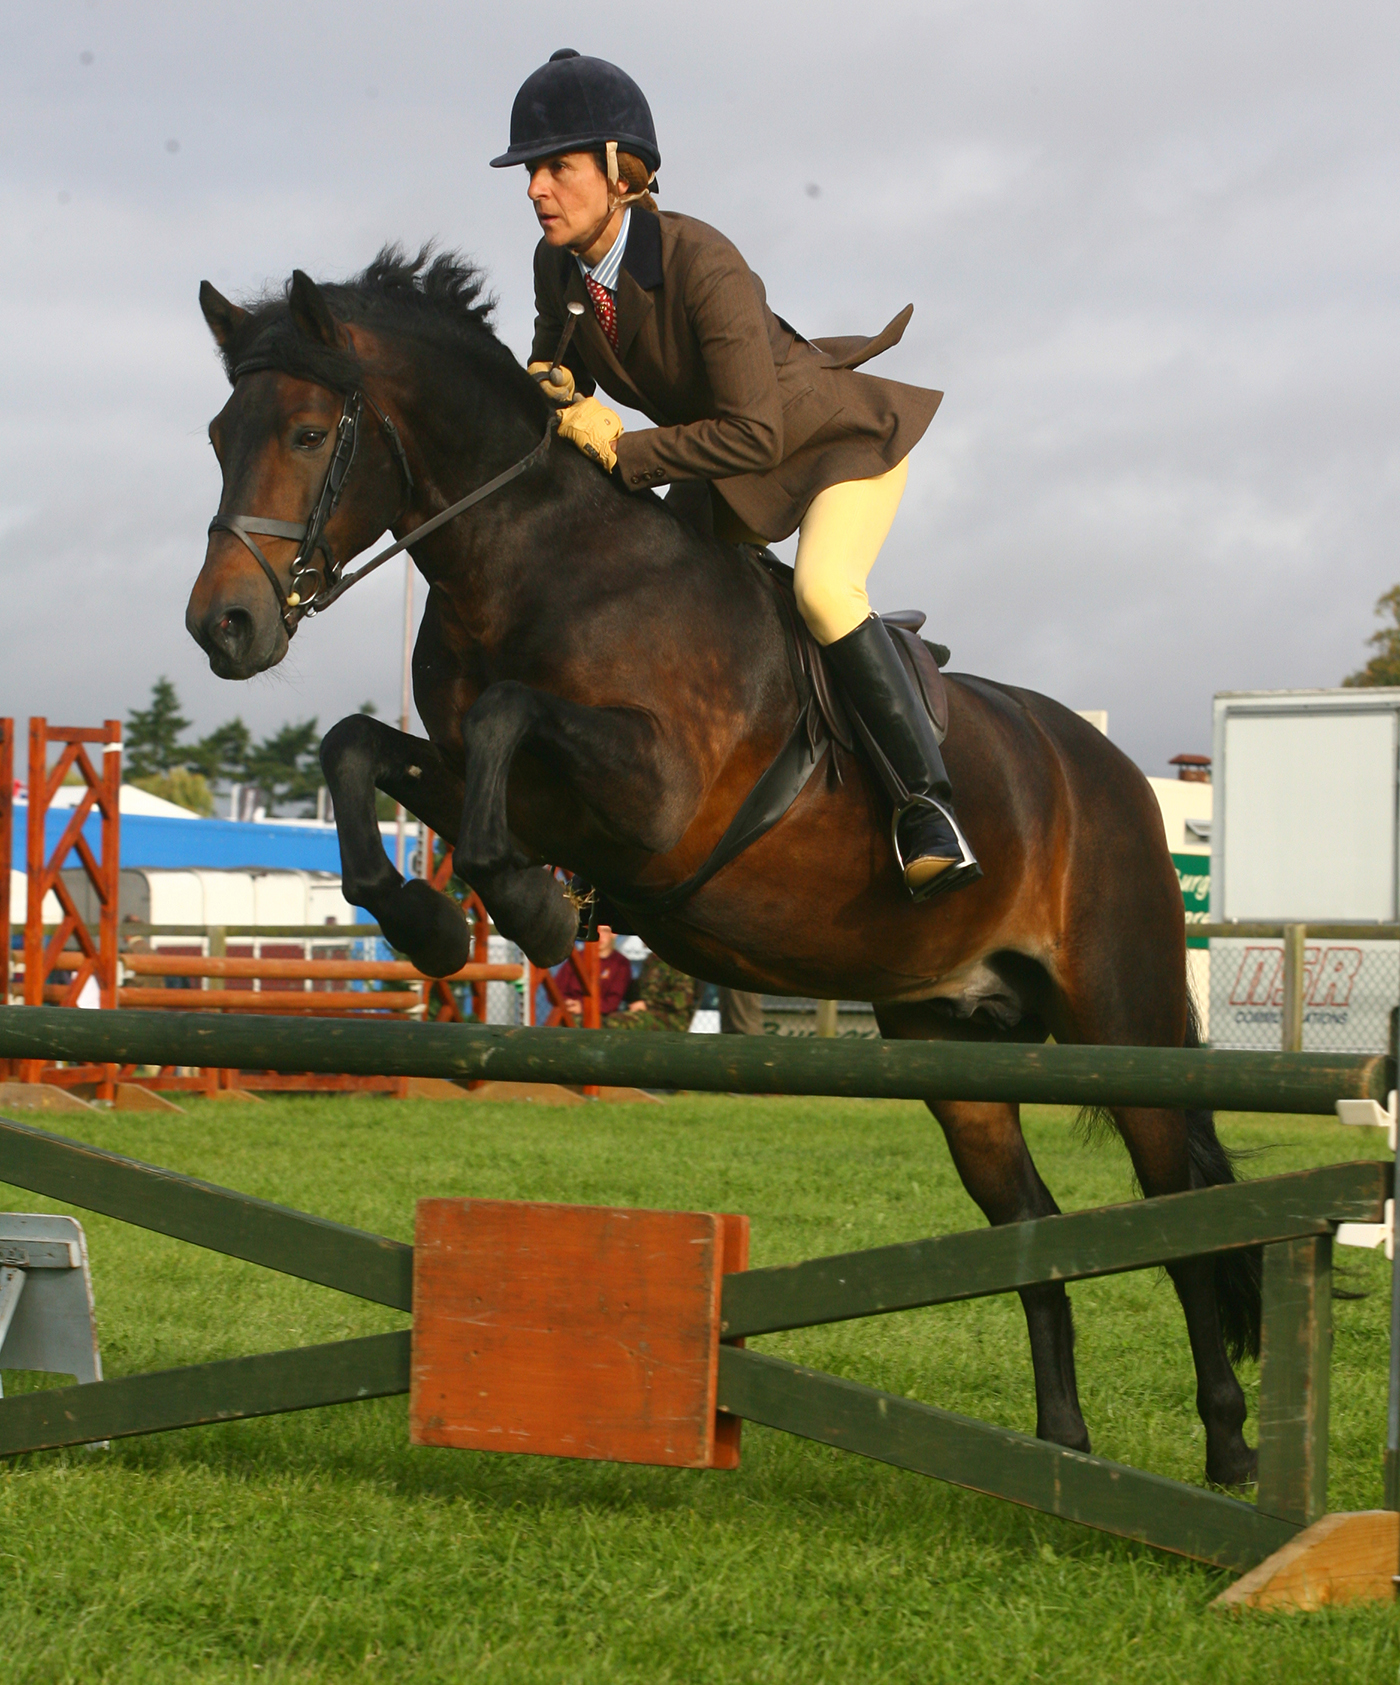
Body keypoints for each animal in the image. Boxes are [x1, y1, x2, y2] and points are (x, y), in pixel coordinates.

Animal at [186, 247, 1258, 1487]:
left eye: (309, 432)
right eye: (219, 431)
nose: (223, 625)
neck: (524, 567)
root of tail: (1115, 769)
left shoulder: (655, 797)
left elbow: (507, 717)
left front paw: (526, 907)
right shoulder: (471, 773)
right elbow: (356, 746)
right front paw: (433, 923)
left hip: (1119, 1018)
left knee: (1177, 1214)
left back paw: (1229, 1450)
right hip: (950, 1035)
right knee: (1031, 1222)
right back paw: (1060, 1452)